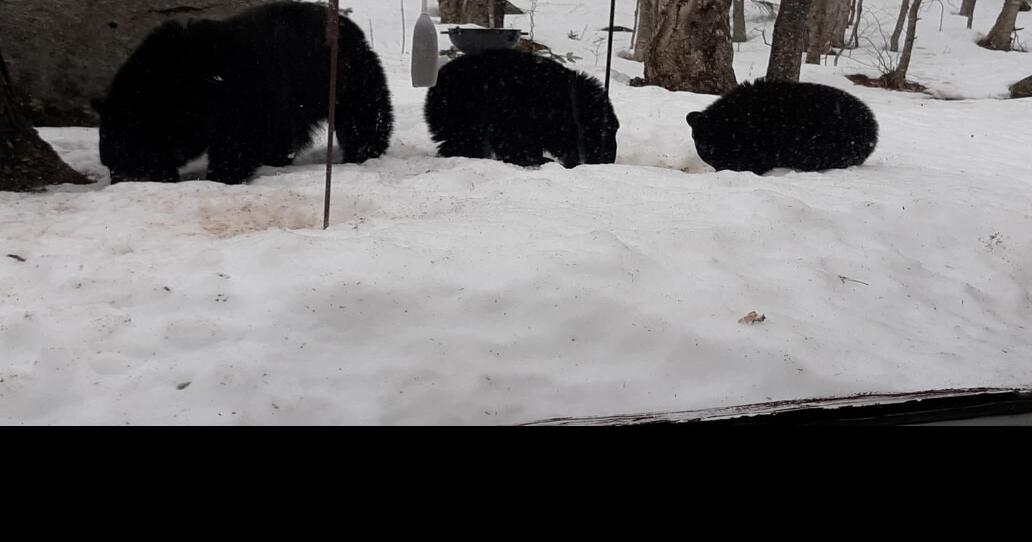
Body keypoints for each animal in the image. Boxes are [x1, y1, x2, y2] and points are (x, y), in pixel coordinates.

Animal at [95, 1, 393, 185]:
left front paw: (220, 176)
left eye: (125, 157)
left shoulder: (232, 95)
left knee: (363, 117)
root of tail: (351, 28)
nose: (118, 181)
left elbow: (235, 141)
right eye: (107, 162)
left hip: (343, 79)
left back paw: (363, 153)